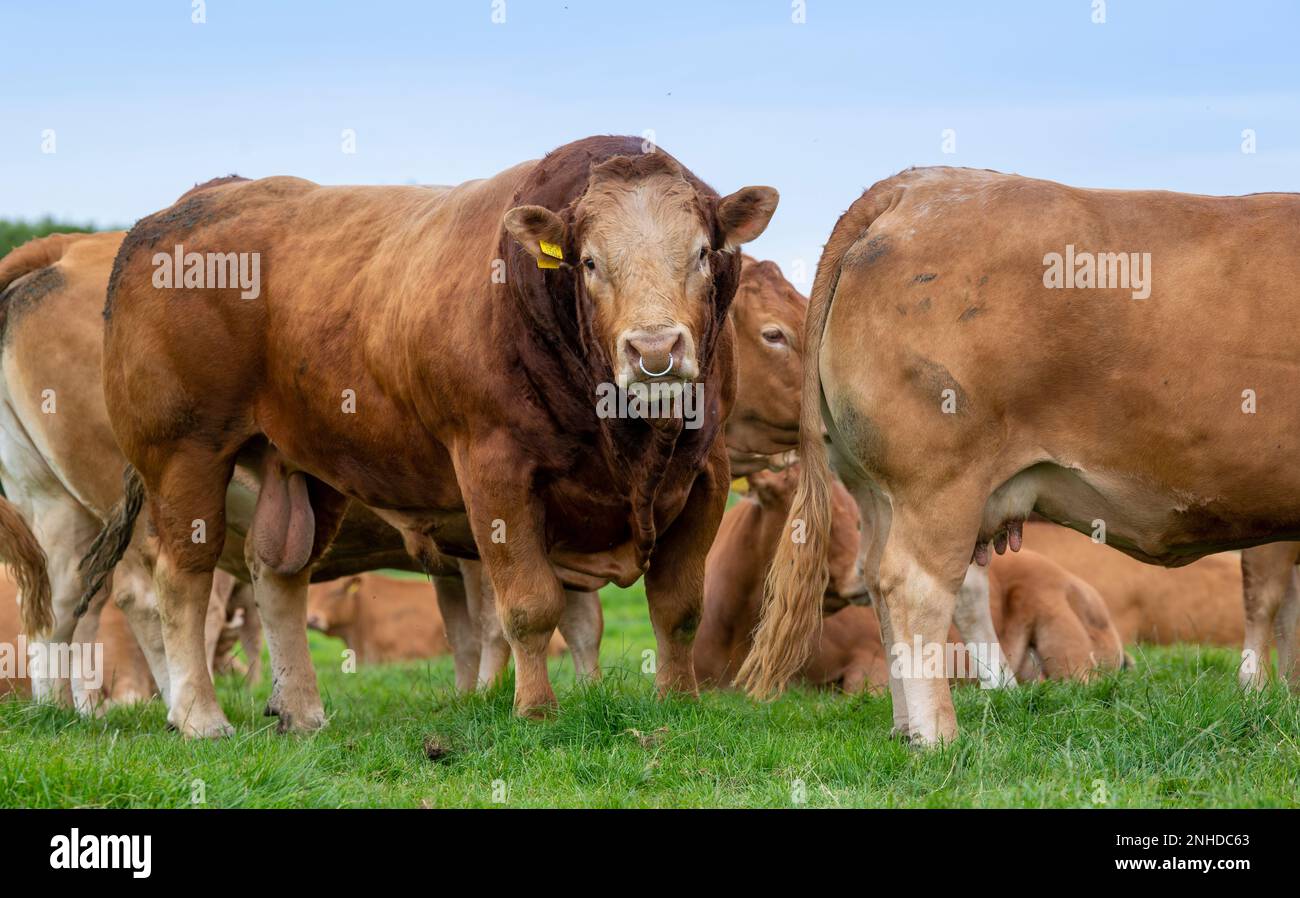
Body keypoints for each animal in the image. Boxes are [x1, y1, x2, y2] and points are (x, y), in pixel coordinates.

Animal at [93, 136, 778, 737]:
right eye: (588, 263)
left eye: (701, 253)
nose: (655, 350)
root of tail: (183, 206)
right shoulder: (495, 471)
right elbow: (529, 605)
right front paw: (536, 711)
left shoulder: (706, 472)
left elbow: (678, 606)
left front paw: (678, 701)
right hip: (184, 454)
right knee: (182, 579)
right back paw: (199, 717)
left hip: (302, 465)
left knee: (279, 571)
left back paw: (302, 711)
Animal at [742, 167, 1300, 745]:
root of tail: (912, 184)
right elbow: (1270, 598)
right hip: (939, 484)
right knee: (915, 588)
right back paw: (938, 737)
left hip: (872, 487)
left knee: (876, 582)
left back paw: (905, 729)